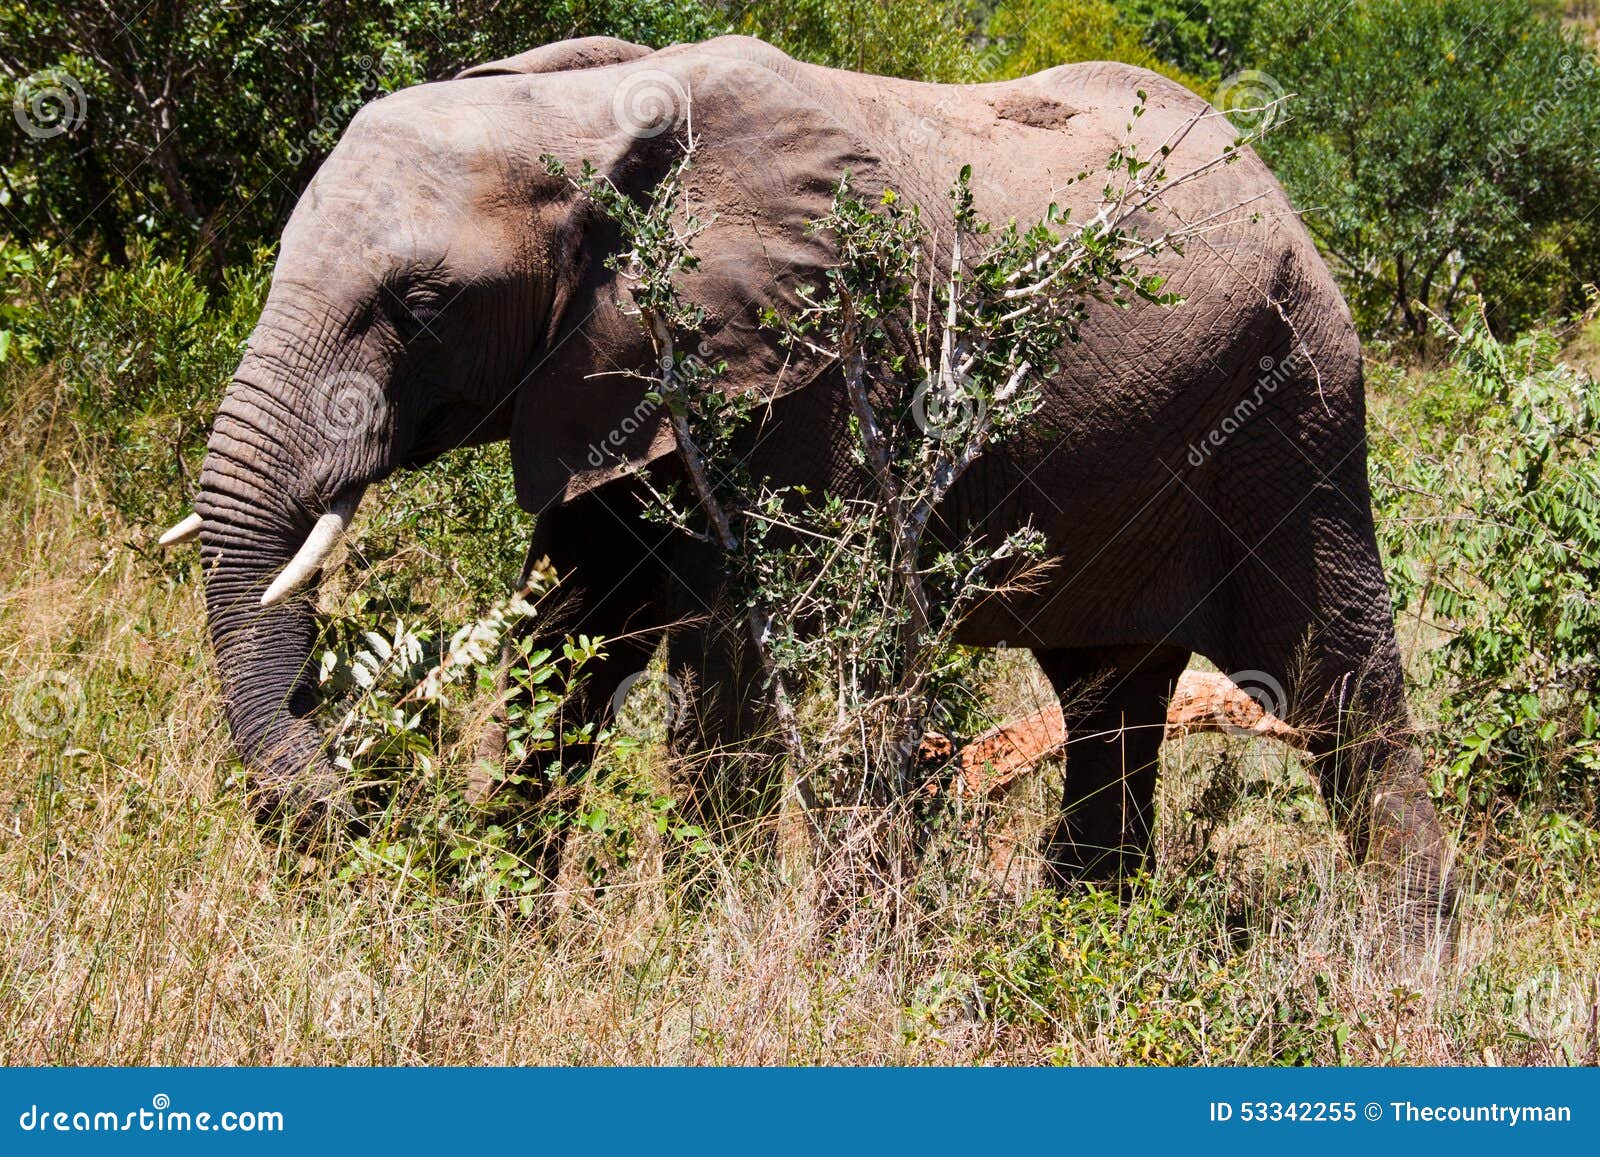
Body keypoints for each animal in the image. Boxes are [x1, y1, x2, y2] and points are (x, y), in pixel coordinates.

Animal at [166, 34, 1452, 935]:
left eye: (421, 305)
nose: (349, 799)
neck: (588, 113)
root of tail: (1276, 187)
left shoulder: (829, 358)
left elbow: (754, 650)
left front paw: (720, 954)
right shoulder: (598, 374)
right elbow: (576, 631)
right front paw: (500, 936)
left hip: (1295, 409)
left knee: (1337, 681)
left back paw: (1408, 973)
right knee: (1108, 693)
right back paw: (1089, 944)